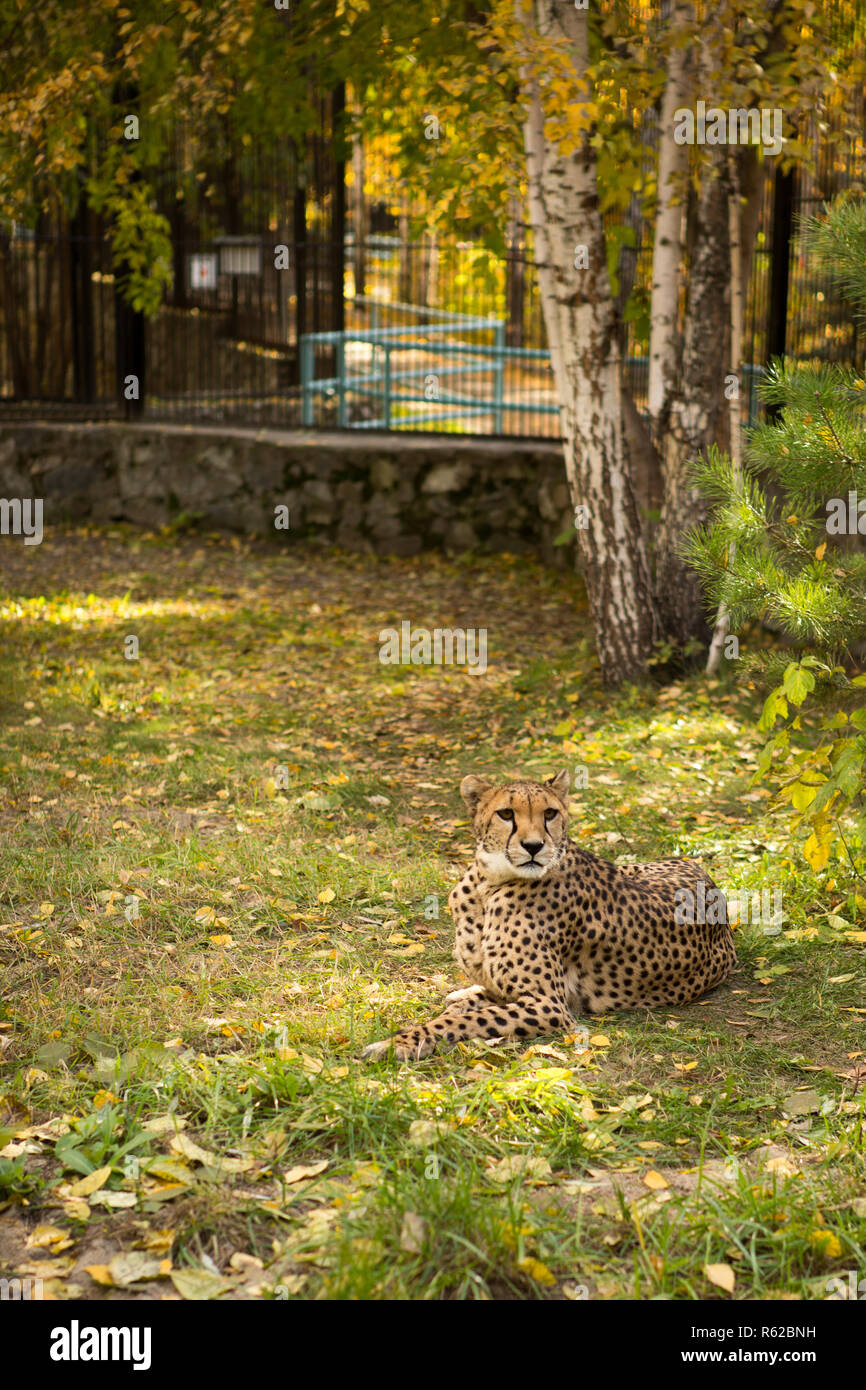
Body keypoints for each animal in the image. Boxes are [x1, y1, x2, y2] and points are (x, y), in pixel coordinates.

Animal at [362, 769, 737, 1060]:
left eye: (550, 813)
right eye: (506, 814)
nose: (533, 846)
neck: (487, 884)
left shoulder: (550, 1005)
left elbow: (463, 1021)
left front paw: (399, 1042)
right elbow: (477, 1002)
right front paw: (461, 1000)